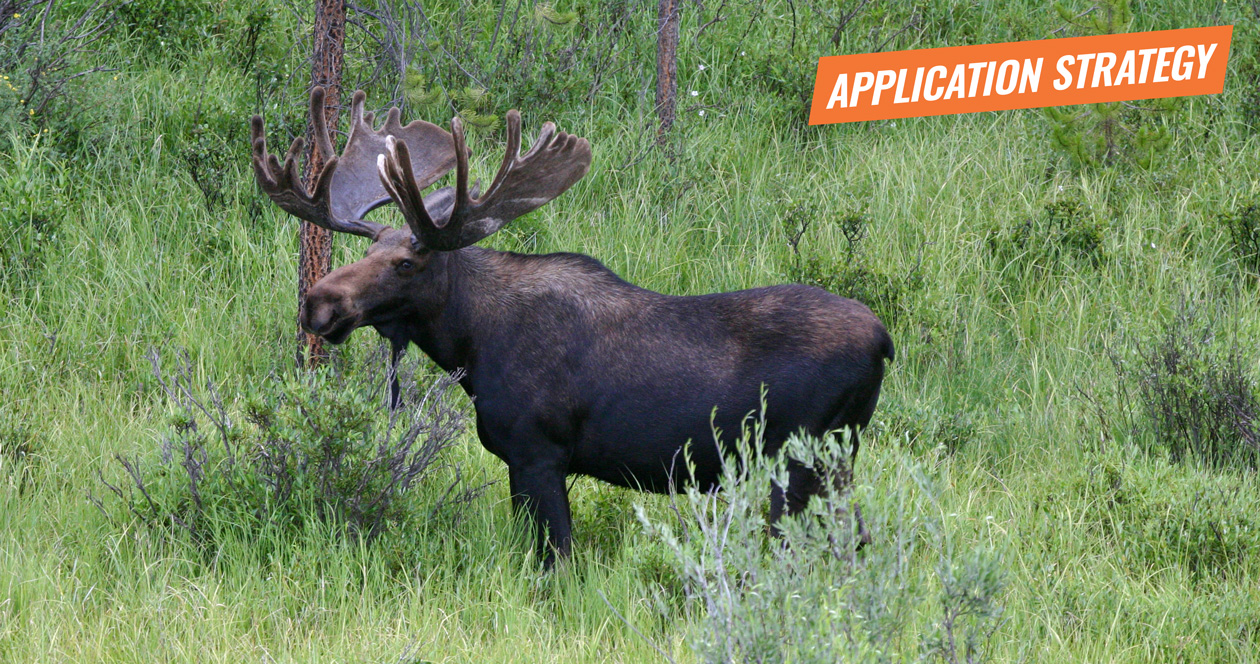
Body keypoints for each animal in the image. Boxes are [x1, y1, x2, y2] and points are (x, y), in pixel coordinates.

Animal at [250, 88, 895, 566]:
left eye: (407, 263)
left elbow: (554, 559)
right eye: (372, 246)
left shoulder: (537, 453)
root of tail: (885, 343)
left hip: (800, 458)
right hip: (834, 459)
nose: (318, 304)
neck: (471, 346)